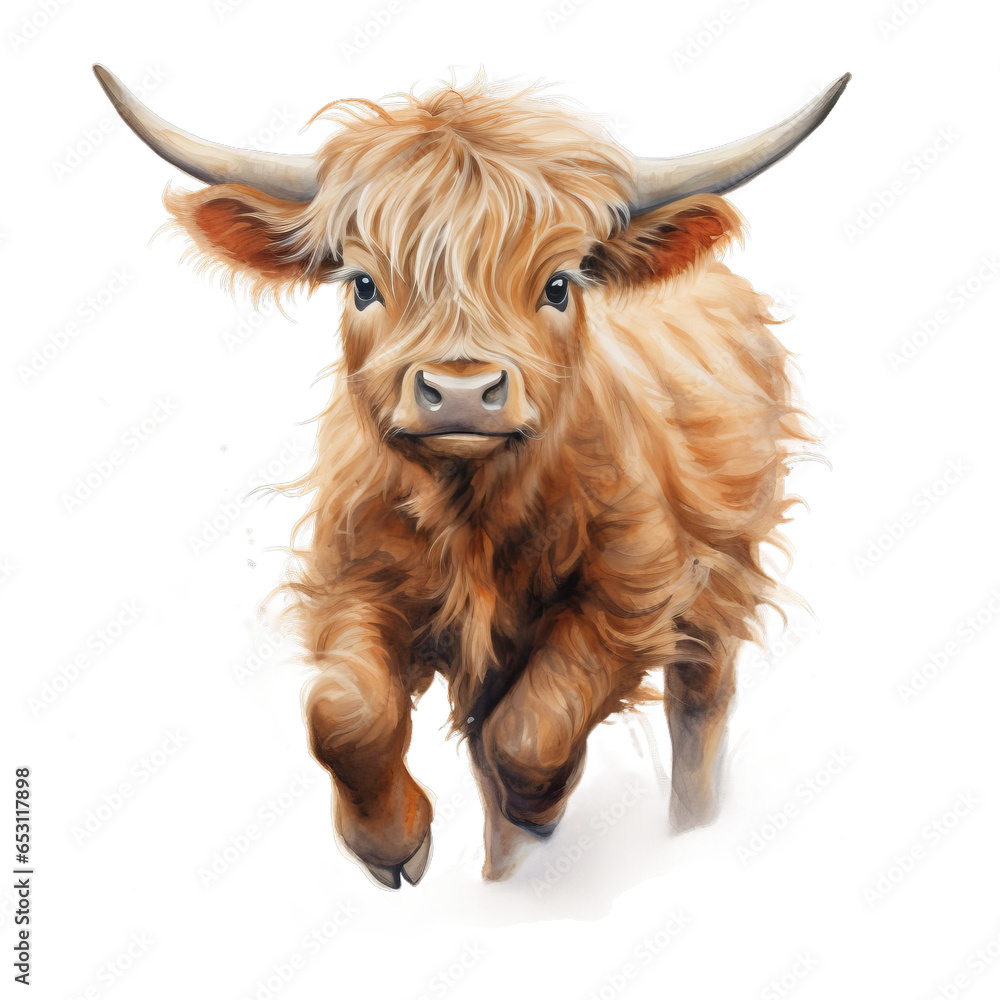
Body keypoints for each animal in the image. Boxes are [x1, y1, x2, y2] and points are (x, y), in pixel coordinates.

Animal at [95, 64, 849, 889]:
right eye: (362, 284)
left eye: (559, 285)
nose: (460, 391)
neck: (472, 513)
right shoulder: (350, 579)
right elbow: (344, 713)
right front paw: (390, 841)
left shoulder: (638, 591)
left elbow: (530, 729)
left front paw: (539, 810)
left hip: (722, 589)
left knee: (698, 710)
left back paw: (682, 830)